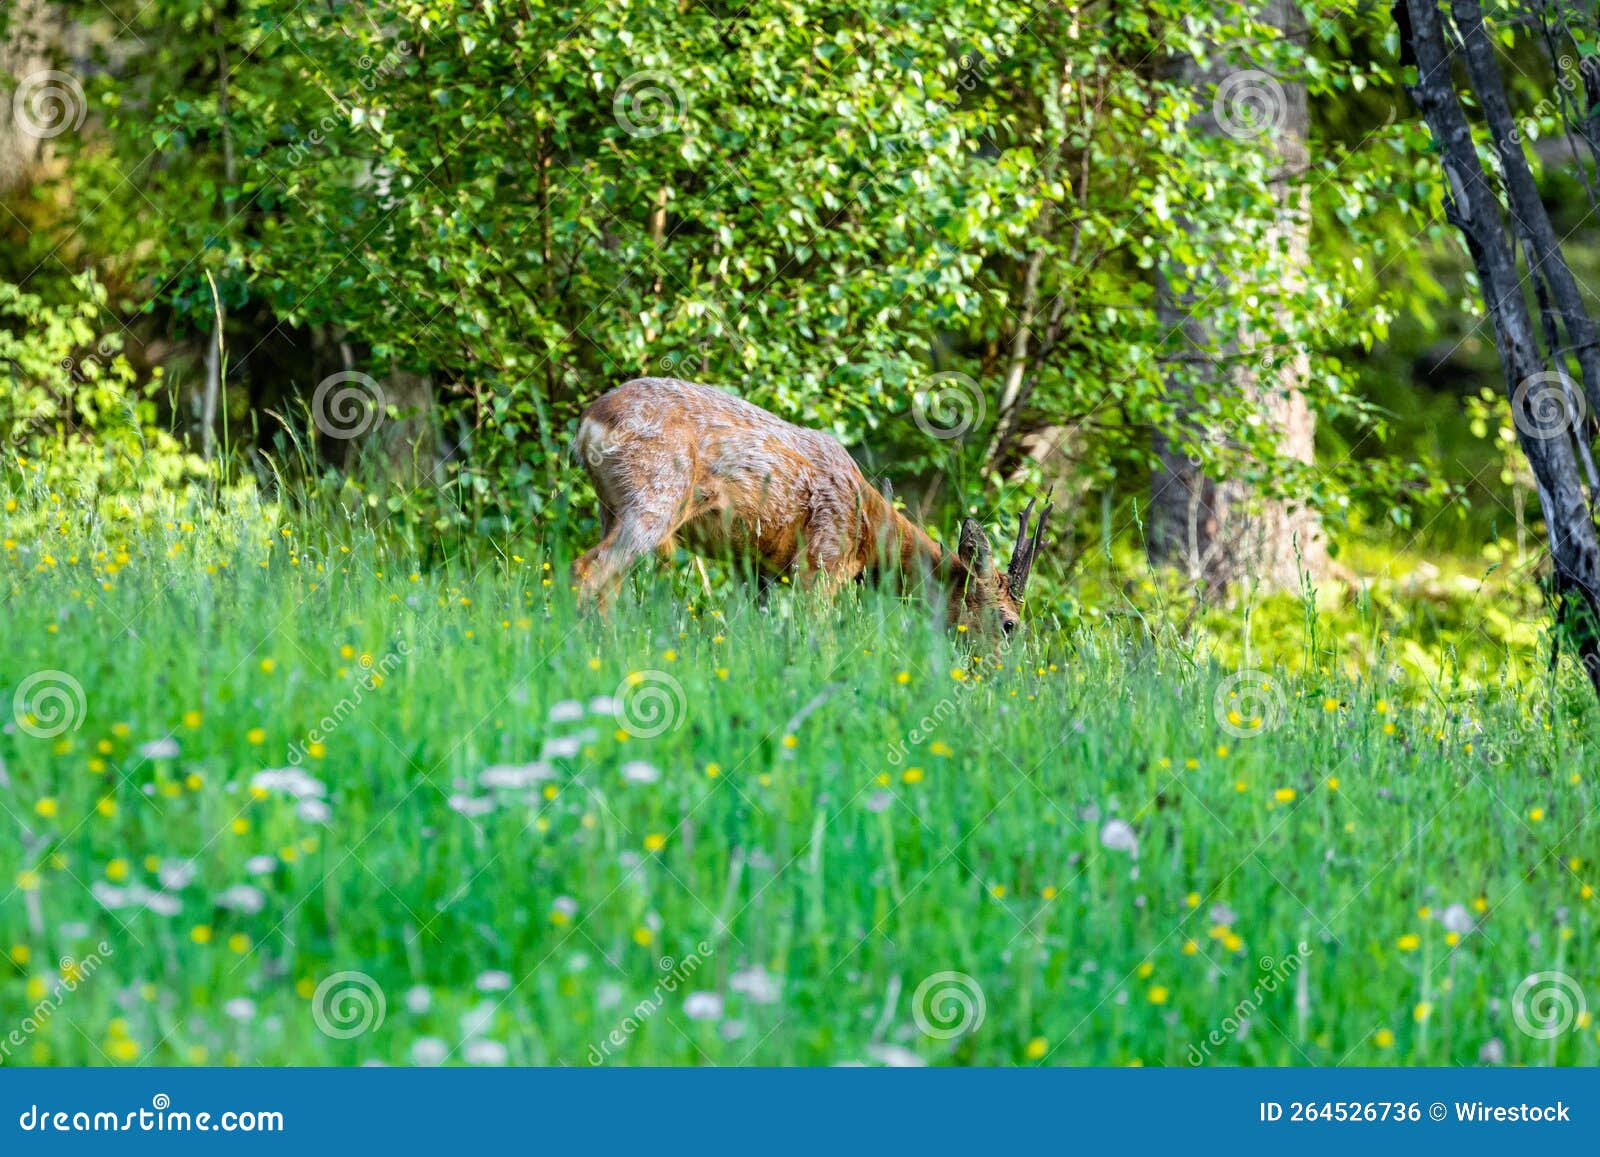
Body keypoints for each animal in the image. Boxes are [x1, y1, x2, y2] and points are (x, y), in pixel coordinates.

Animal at [572, 377, 1050, 637]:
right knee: (589, 570)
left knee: (607, 583)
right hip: (655, 497)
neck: (869, 530)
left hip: (609, 506)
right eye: (1010, 624)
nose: (997, 676)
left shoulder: (755, 565)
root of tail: (589, 424)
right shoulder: (822, 560)